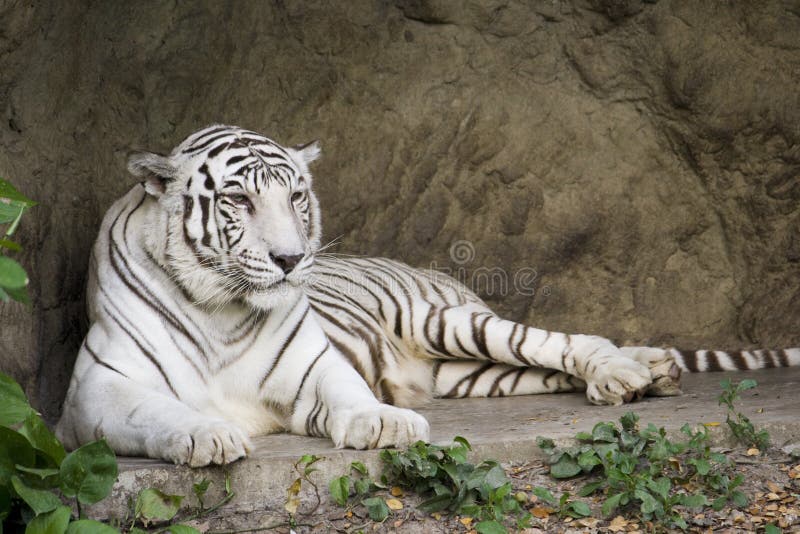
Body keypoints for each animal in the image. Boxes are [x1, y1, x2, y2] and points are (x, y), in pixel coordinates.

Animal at [56, 125, 800, 467]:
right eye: (237, 200)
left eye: (295, 196)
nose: (291, 259)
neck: (222, 308)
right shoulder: (97, 394)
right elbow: (158, 412)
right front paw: (208, 434)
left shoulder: (312, 366)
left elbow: (347, 392)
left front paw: (382, 424)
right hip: (473, 375)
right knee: (545, 367)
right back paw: (649, 371)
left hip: (449, 321)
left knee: (564, 341)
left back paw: (626, 373)